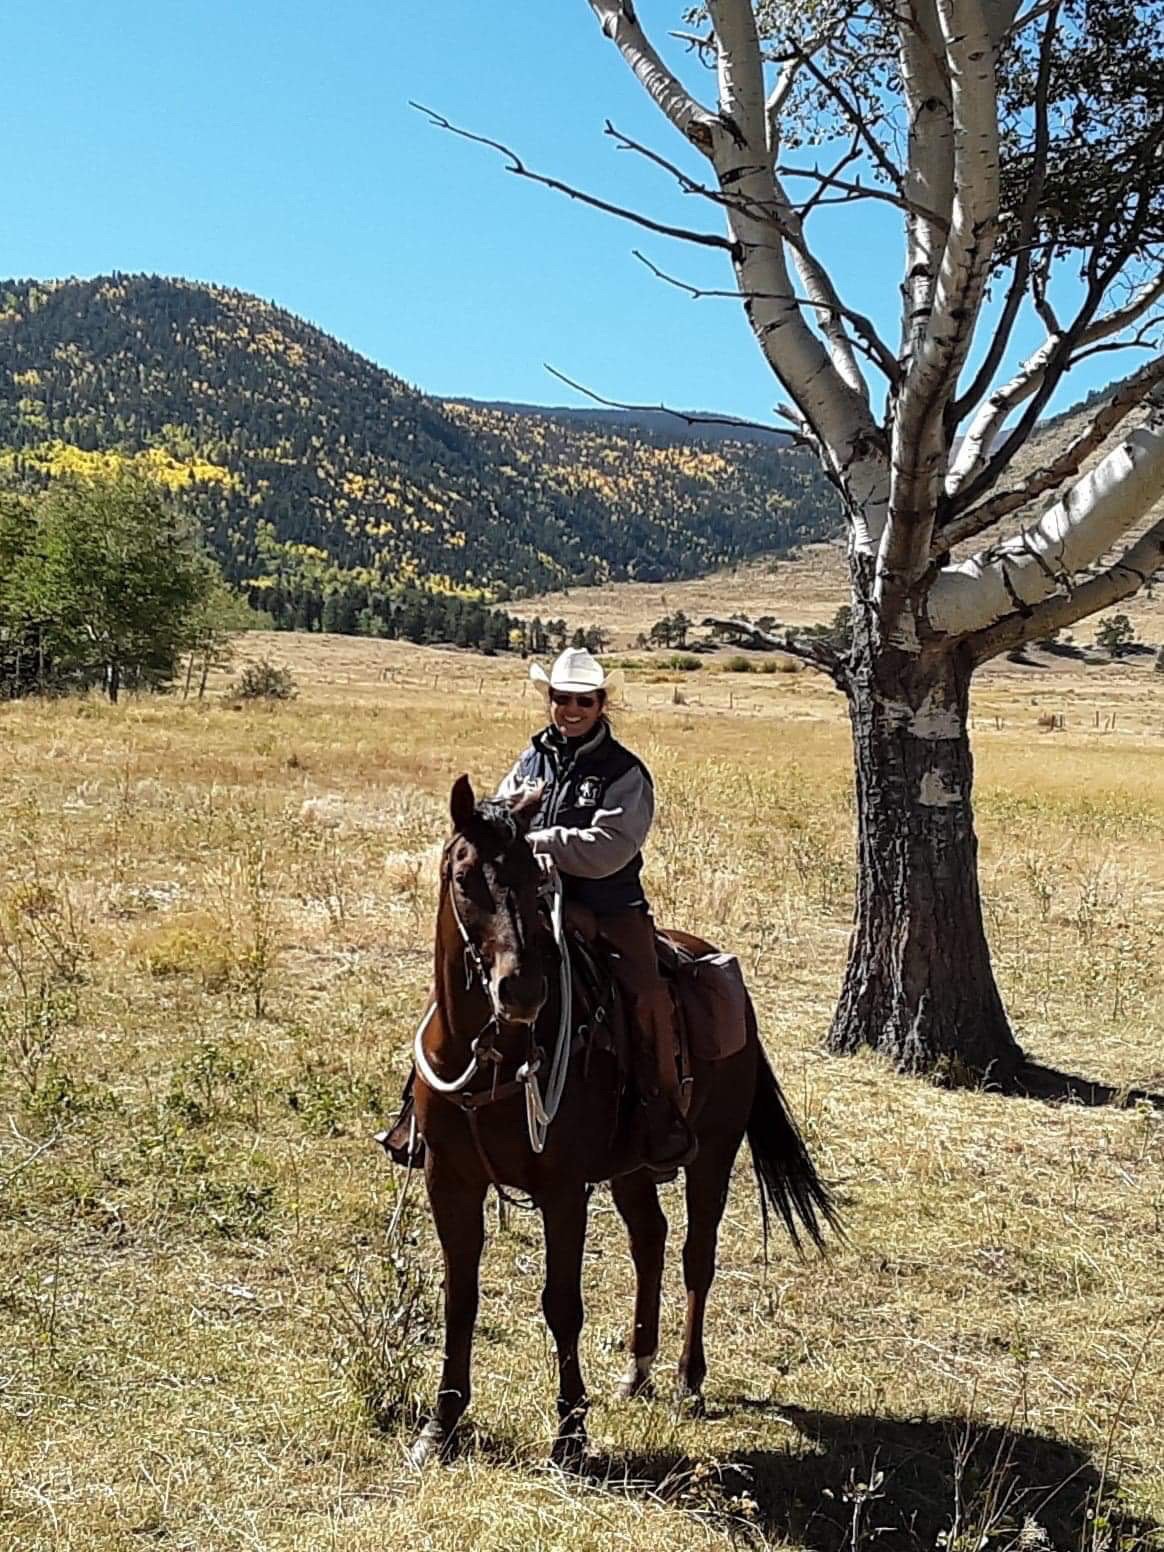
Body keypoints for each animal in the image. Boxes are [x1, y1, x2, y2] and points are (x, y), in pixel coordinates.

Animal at [405, 774, 838, 1469]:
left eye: (537, 882)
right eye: (465, 876)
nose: (521, 991)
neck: (493, 1061)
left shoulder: (563, 1191)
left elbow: (562, 1304)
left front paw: (570, 1434)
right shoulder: (450, 1182)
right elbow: (459, 1297)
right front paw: (439, 1426)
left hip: (714, 1154)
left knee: (696, 1254)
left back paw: (689, 1380)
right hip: (632, 1168)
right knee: (649, 1240)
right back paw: (638, 1371)